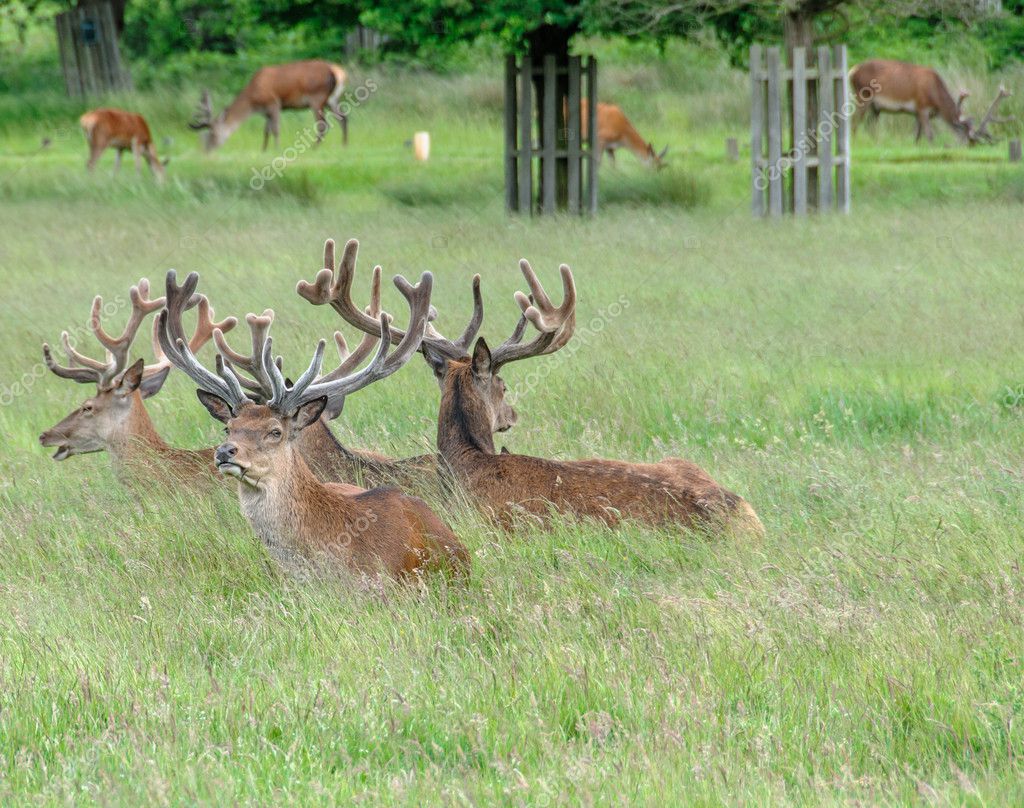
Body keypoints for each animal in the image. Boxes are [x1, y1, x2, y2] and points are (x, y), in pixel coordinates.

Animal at [189, 60, 348, 152]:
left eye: (213, 133)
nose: (207, 150)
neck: (253, 101)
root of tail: (337, 72)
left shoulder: (273, 103)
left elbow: (275, 129)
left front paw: (277, 149)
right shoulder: (265, 111)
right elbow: (266, 131)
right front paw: (263, 150)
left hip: (317, 98)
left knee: (323, 124)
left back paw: (314, 148)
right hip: (331, 99)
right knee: (343, 117)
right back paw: (344, 145)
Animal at [848, 59, 991, 144]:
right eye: (968, 137)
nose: (971, 147)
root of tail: (852, 71)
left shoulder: (916, 112)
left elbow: (917, 135)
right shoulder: (922, 107)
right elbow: (929, 134)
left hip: (875, 107)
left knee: (870, 126)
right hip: (863, 95)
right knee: (855, 121)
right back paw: (855, 142)